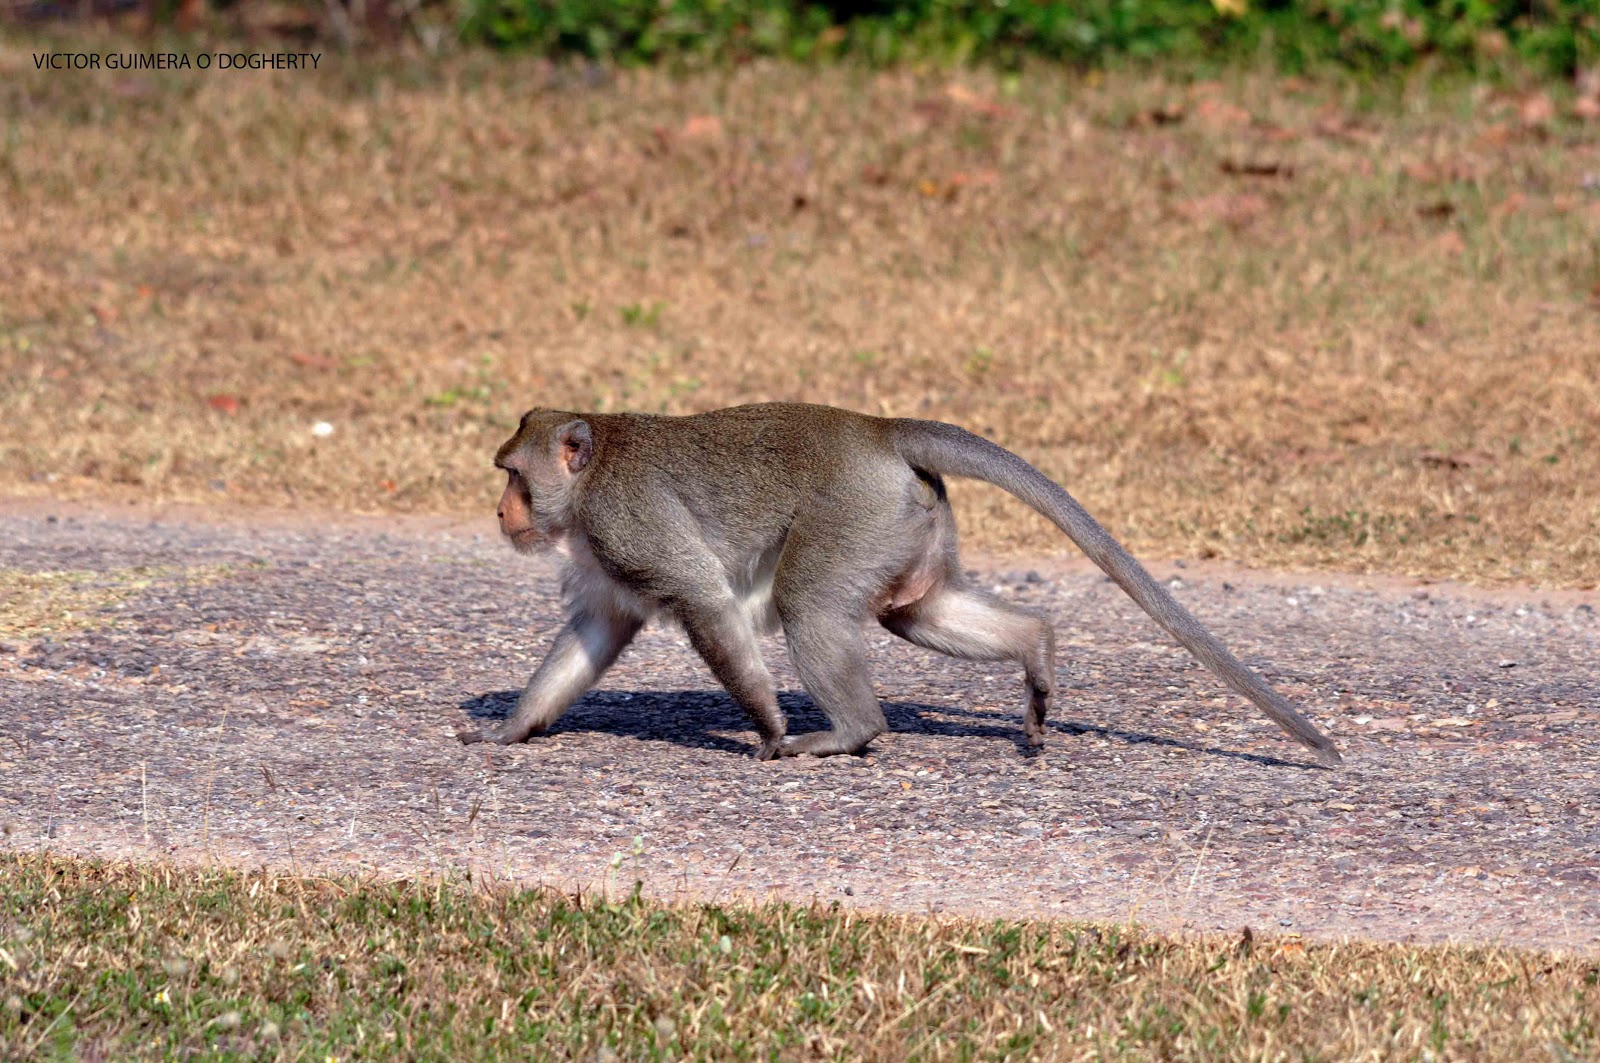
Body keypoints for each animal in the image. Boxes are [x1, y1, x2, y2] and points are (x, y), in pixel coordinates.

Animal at [460, 403, 1341, 767]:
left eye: (514, 476)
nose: (499, 509)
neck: (594, 471)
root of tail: (878, 432)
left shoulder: (626, 522)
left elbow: (706, 601)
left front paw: (770, 727)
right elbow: (595, 634)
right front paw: (513, 729)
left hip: (855, 514)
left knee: (810, 605)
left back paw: (850, 732)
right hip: (907, 523)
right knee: (917, 610)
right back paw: (1035, 649)